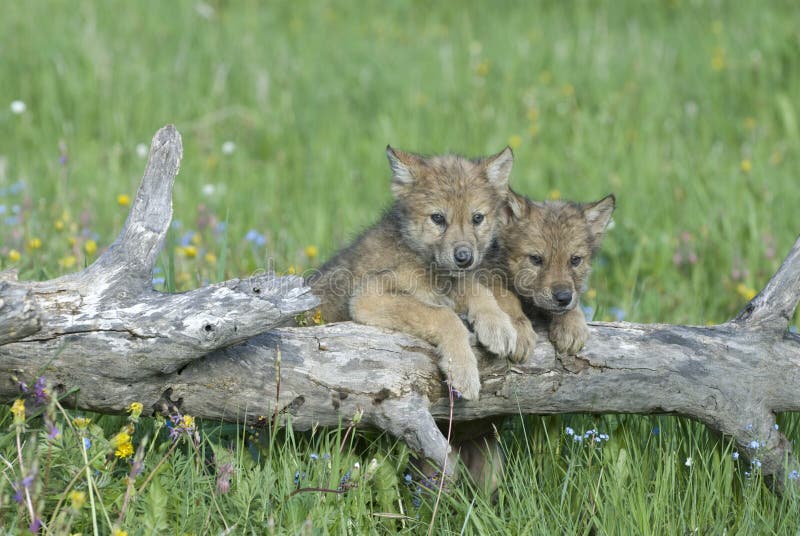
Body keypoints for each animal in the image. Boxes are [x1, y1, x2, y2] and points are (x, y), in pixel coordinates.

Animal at [307, 146, 528, 400]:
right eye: (438, 218)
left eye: (477, 218)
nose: (464, 258)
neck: (416, 253)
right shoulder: (367, 298)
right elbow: (444, 315)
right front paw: (463, 371)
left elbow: (477, 289)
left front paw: (497, 324)